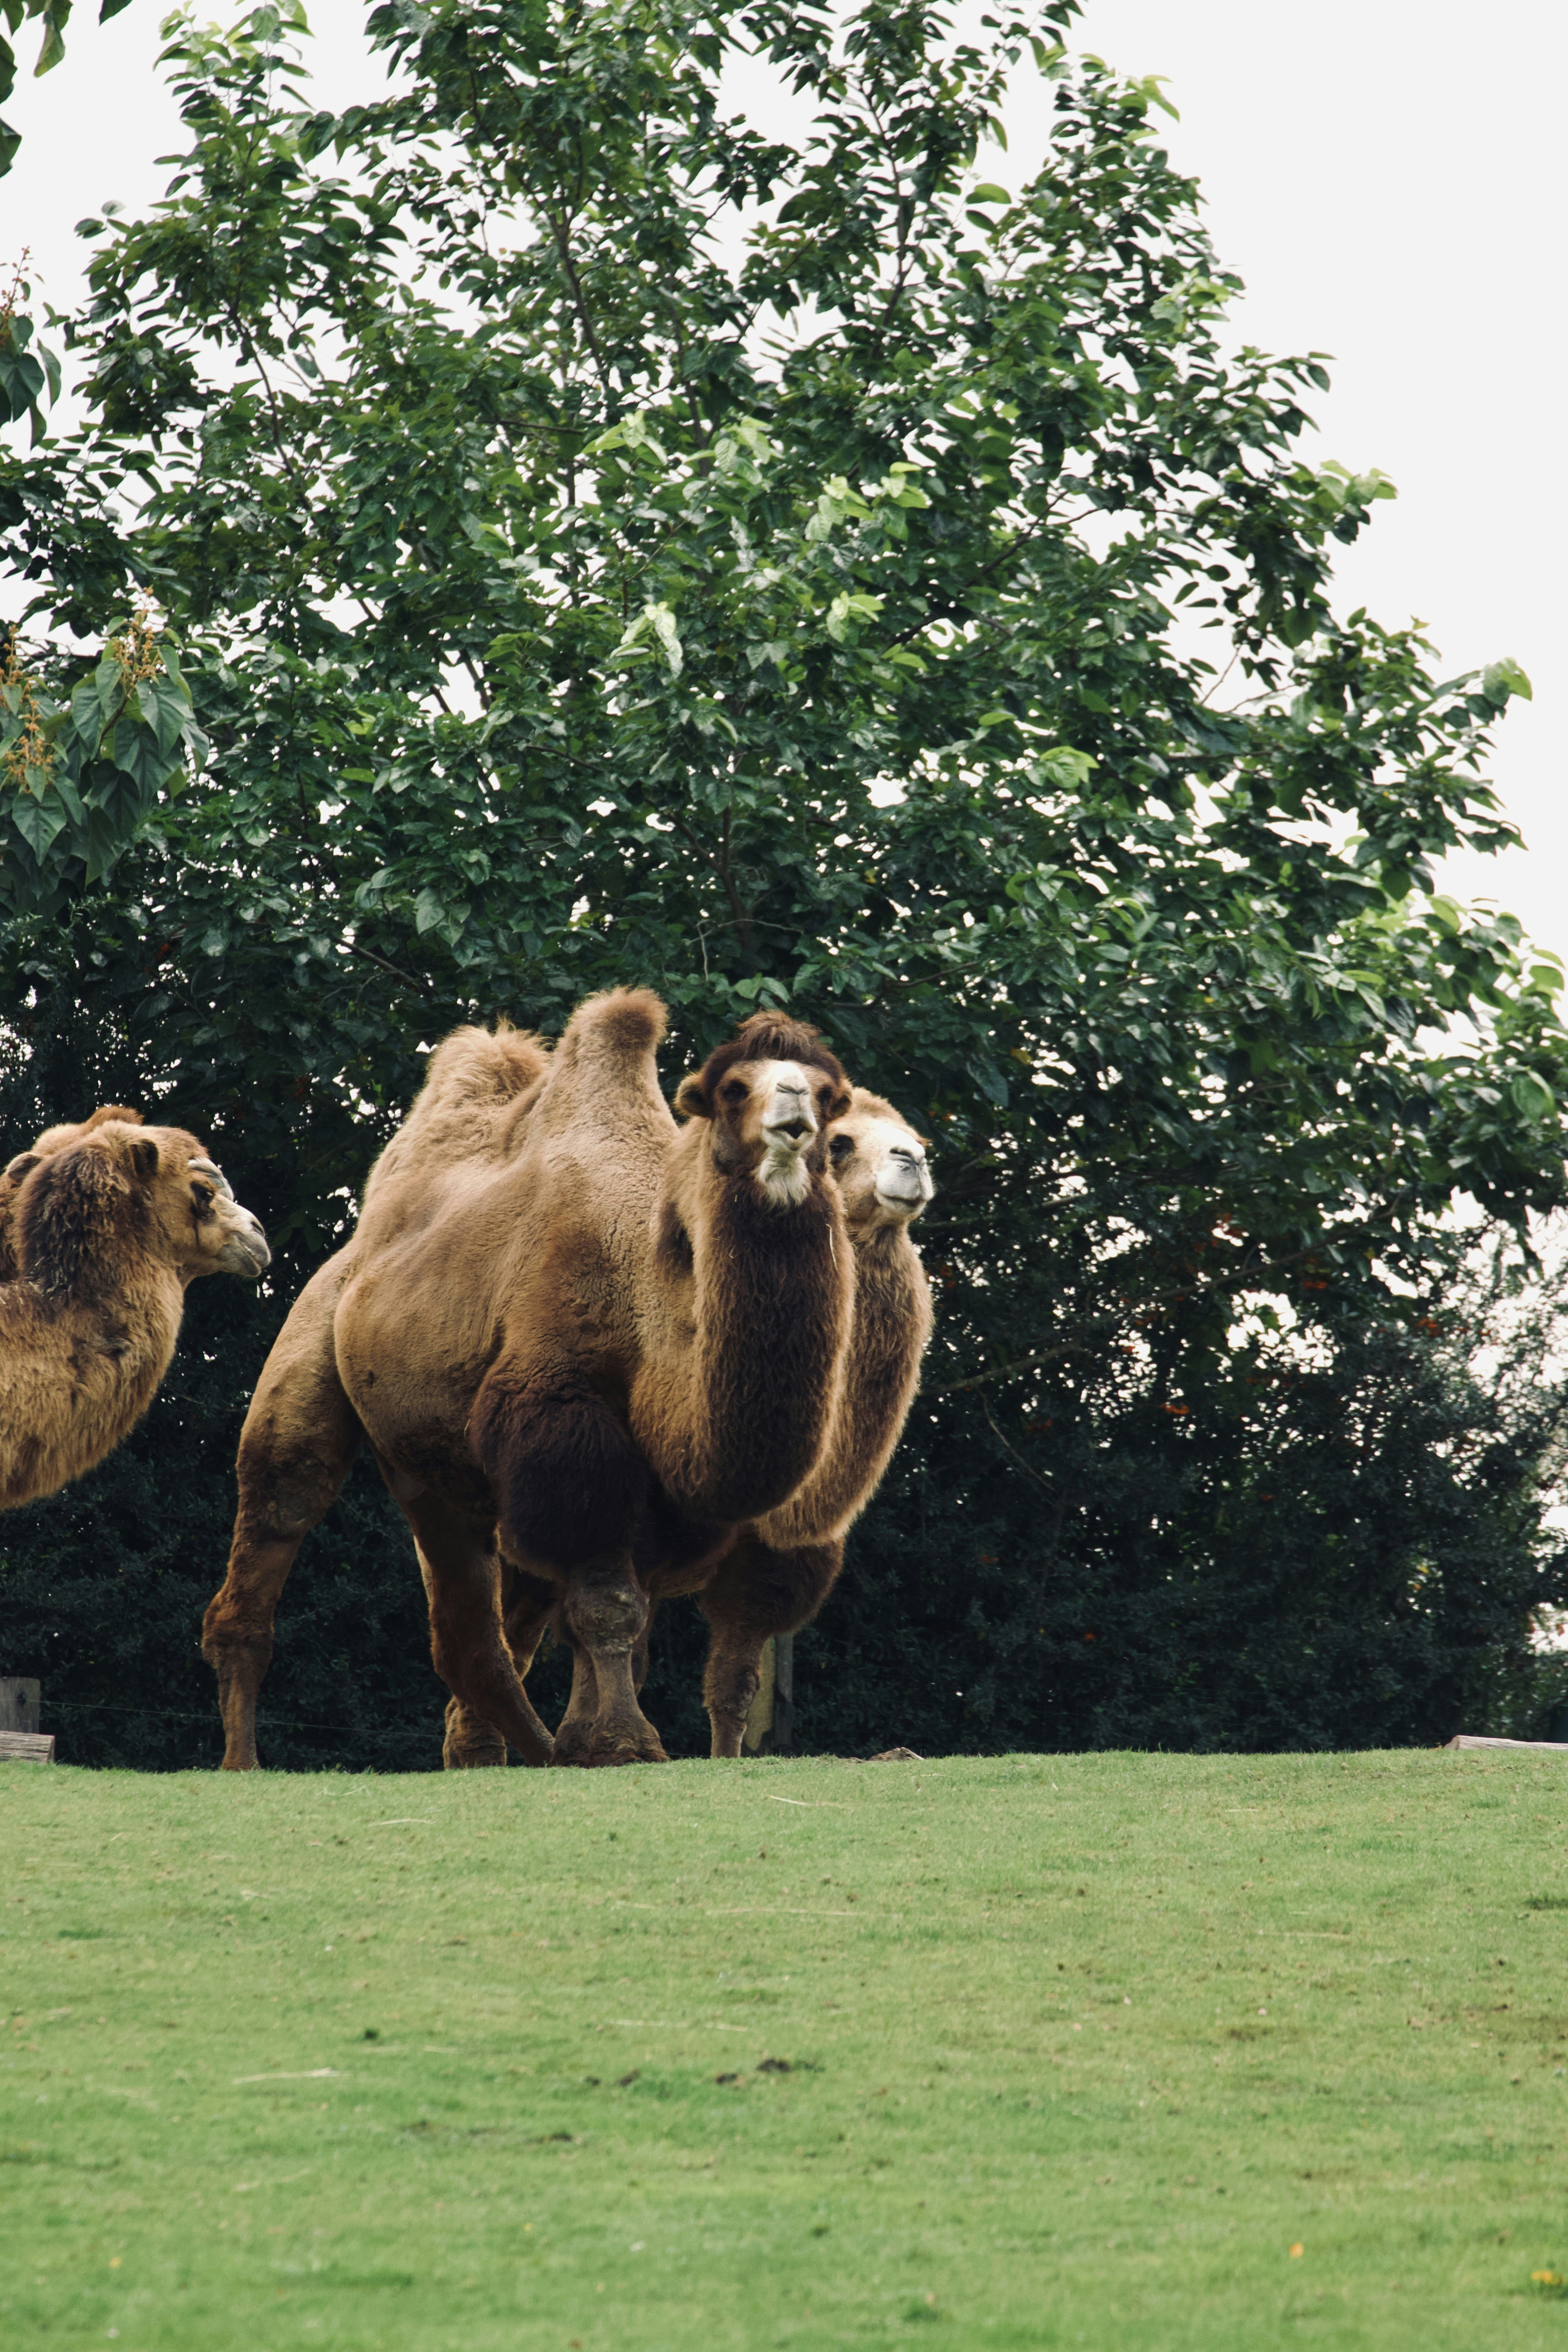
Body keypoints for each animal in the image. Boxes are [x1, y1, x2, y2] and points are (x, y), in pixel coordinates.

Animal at [203, 992, 857, 1769]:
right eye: (733, 1089)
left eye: (829, 1095)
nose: (795, 1114)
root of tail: (361, 1245)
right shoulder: (563, 1423)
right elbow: (608, 1608)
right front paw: (623, 1742)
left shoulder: (652, 1499)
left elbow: (619, 1620)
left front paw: (589, 1739)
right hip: (313, 1337)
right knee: (283, 1503)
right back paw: (242, 1758)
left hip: (431, 1464)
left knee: (467, 1632)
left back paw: (524, 1748)